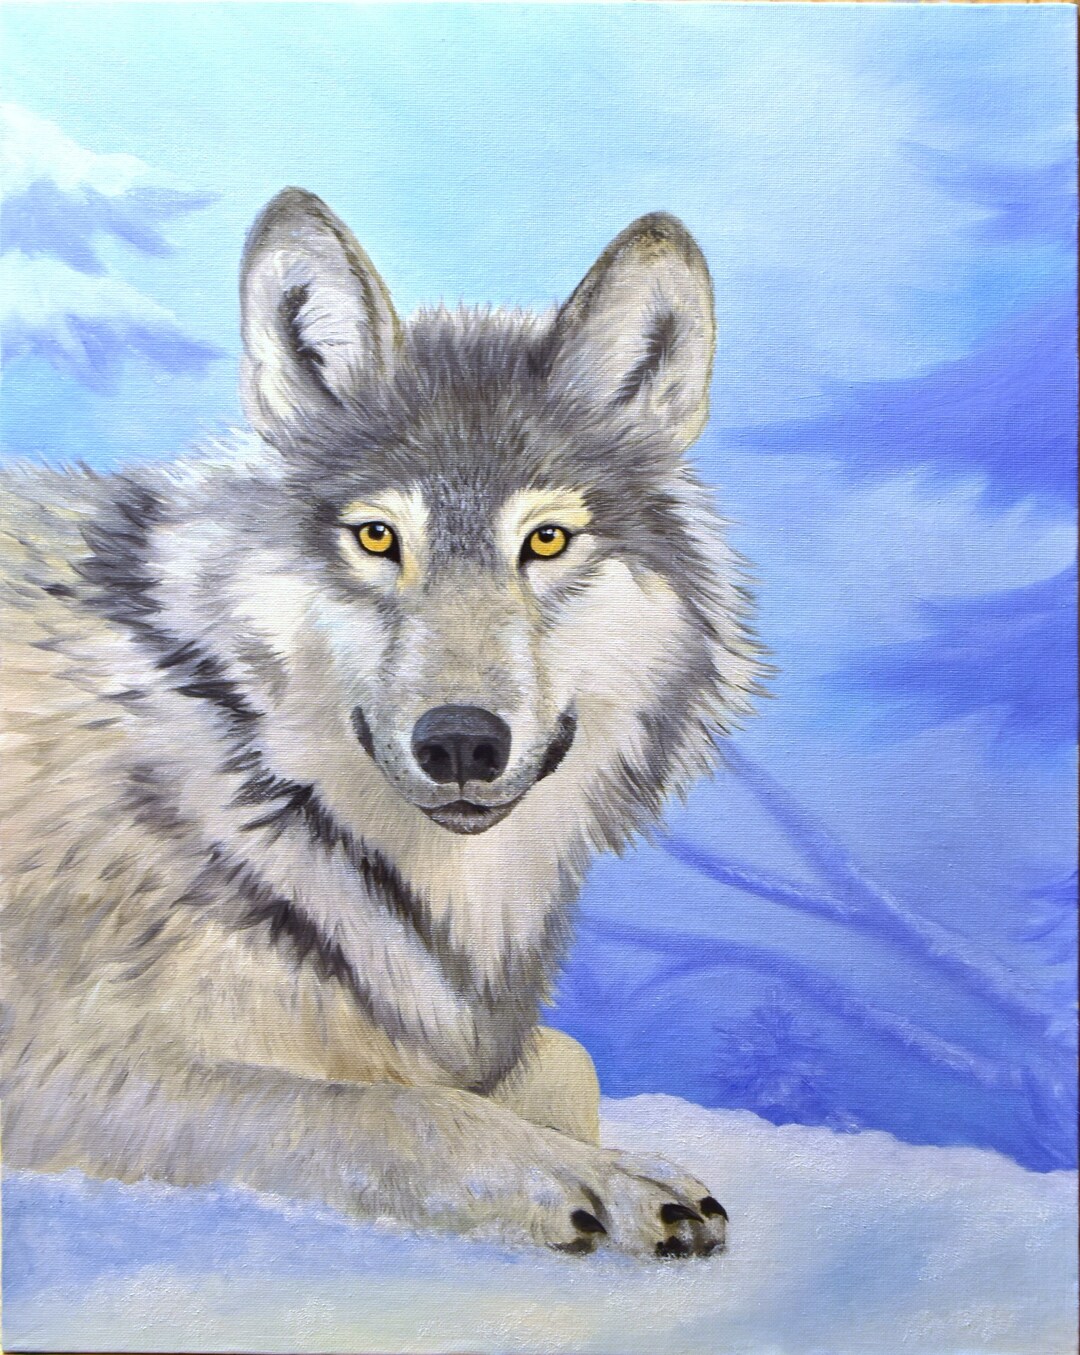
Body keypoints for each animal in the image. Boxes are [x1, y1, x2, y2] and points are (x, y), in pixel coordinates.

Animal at [1, 190, 764, 1258]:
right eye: (377, 537)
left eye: (546, 540)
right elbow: (391, 1107)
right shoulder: (58, 1069)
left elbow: (563, 1061)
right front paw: (590, 1183)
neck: (245, 772)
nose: (461, 741)